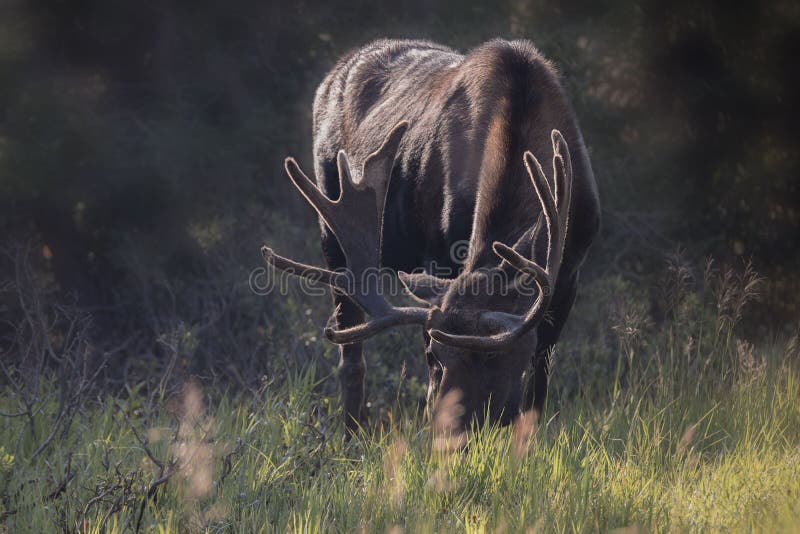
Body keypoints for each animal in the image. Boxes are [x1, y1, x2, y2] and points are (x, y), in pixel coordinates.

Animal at [262, 39, 600, 434]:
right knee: (350, 353)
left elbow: (539, 388)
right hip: (332, 233)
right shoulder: (439, 258)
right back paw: (351, 434)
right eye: (432, 353)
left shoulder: (570, 273)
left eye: (501, 358)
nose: (448, 431)